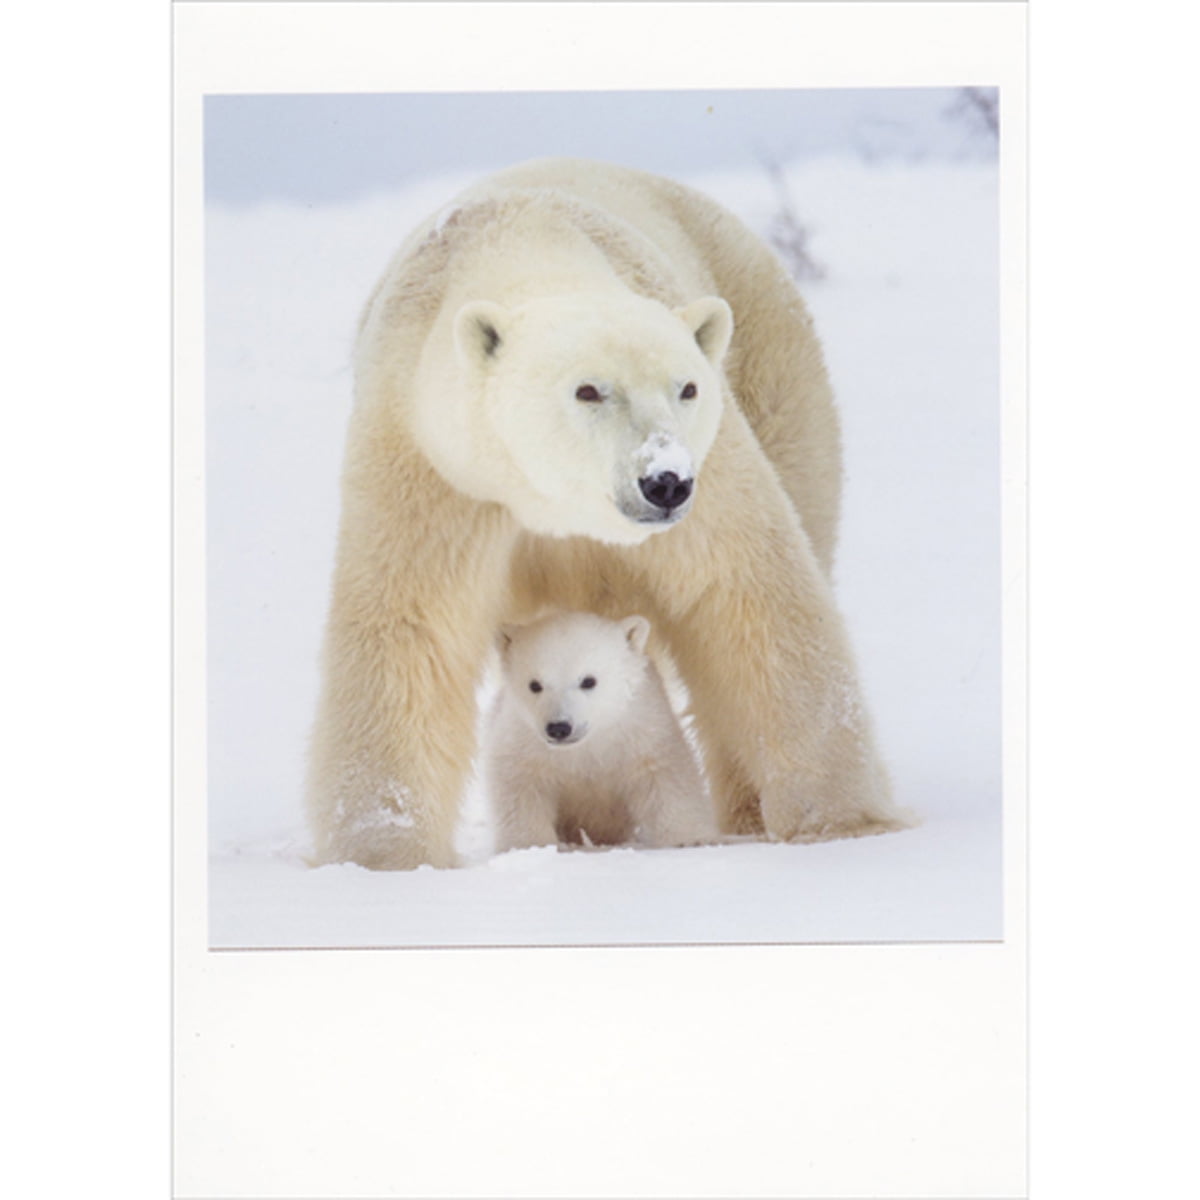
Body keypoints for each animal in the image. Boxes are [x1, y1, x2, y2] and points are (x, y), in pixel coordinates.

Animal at [484, 610, 717, 854]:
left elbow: (665, 775)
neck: (590, 740)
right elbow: (520, 784)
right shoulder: (522, 736)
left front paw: (690, 839)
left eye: (588, 681)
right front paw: (530, 845)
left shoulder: (641, 726)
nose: (559, 727)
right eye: (534, 684)